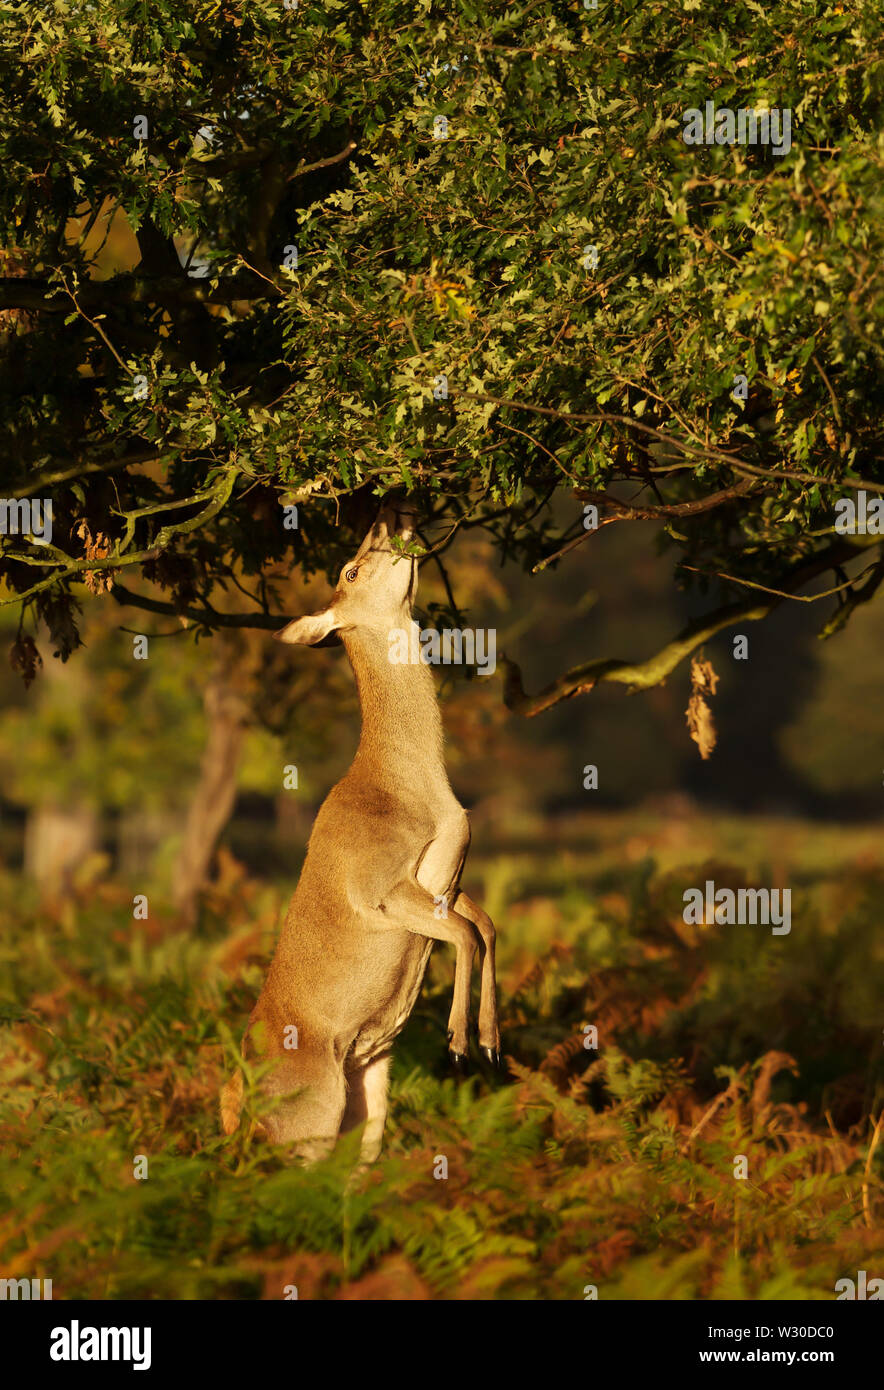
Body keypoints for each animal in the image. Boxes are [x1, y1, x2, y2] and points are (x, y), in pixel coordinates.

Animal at [220, 500, 500, 1163]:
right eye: (348, 569)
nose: (388, 515)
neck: (418, 788)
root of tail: (239, 1107)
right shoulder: (379, 885)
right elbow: (466, 936)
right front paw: (458, 1041)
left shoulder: (444, 879)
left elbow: (486, 926)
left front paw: (490, 1038)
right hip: (311, 1117)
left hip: (364, 1106)